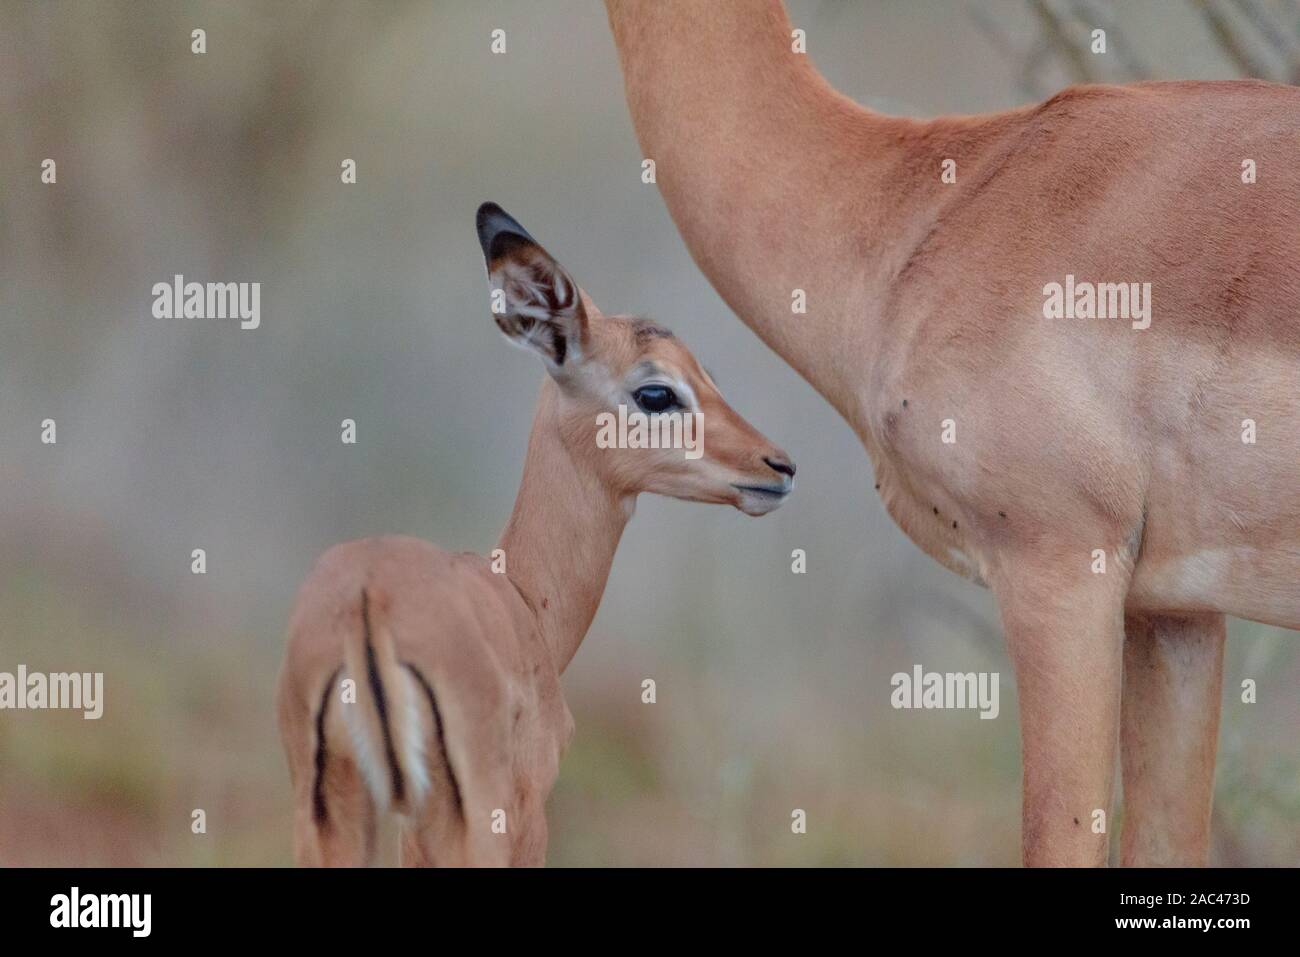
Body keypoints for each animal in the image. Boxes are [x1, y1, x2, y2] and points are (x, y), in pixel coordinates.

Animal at [275, 203, 796, 866]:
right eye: (657, 391)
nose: (778, 466)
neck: (522, 598)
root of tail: (368, 606)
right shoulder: (526, 820)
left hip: (330, 817)